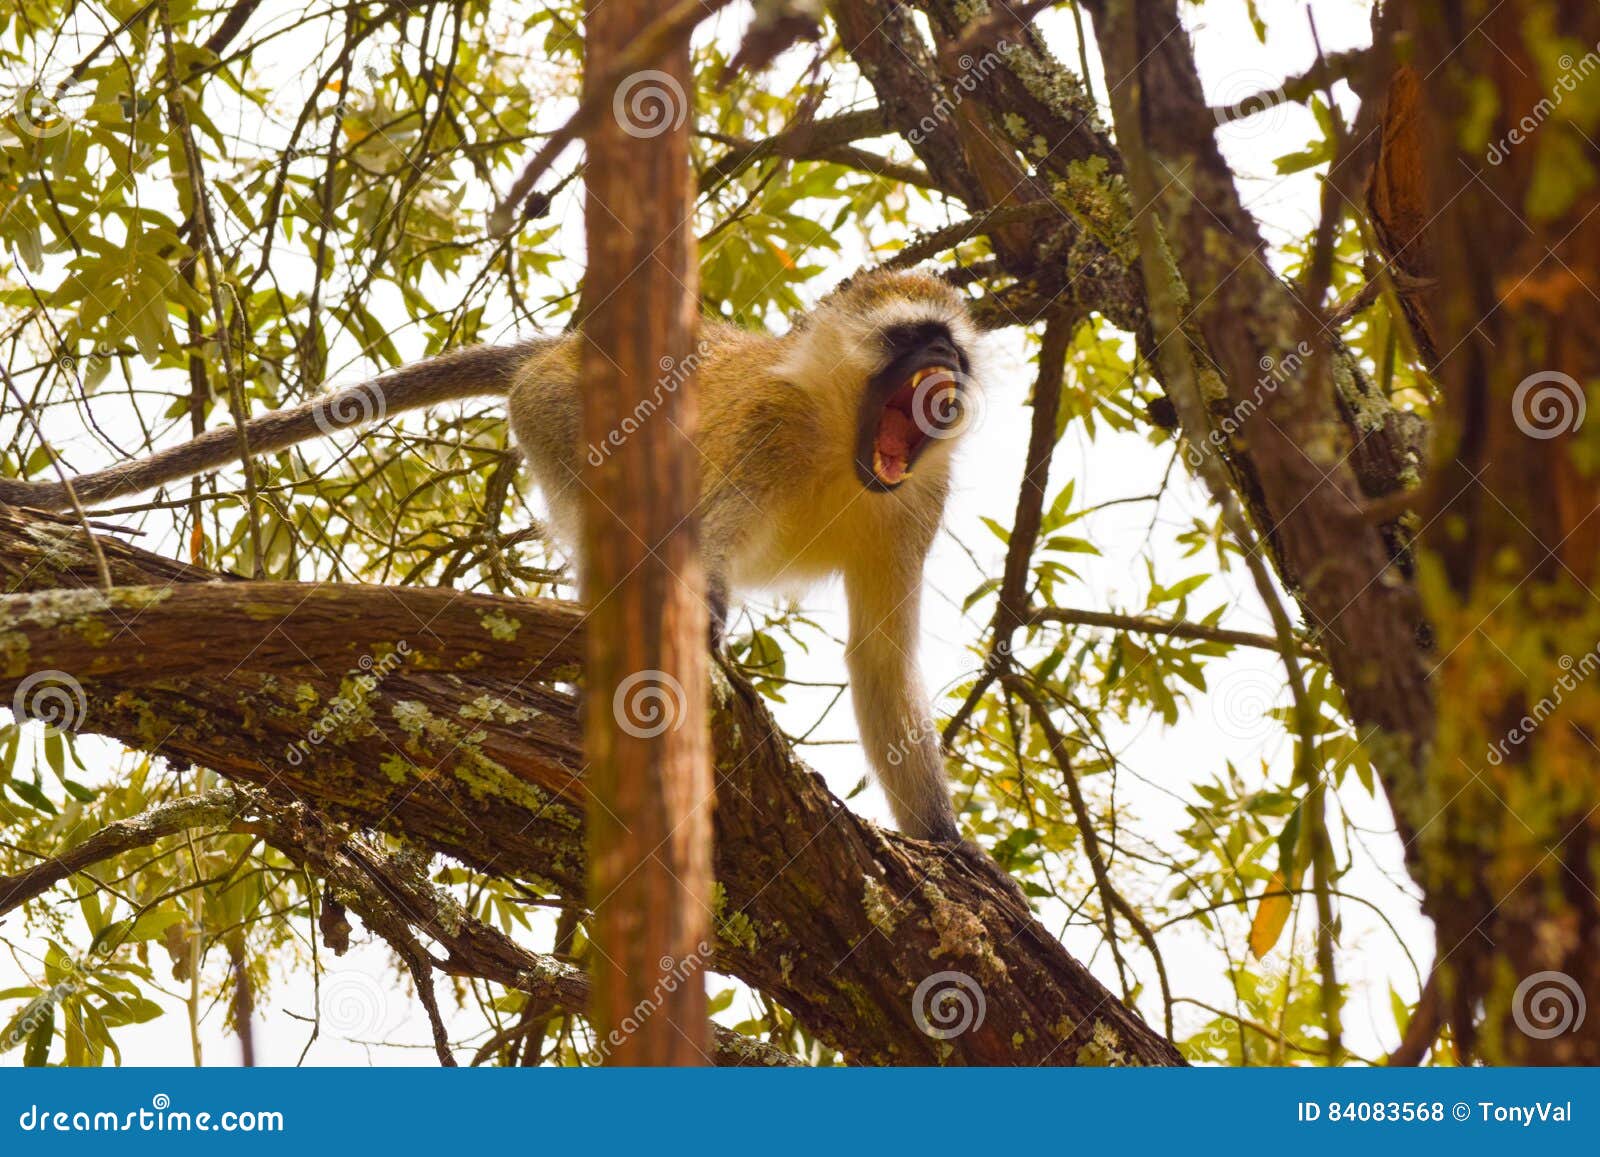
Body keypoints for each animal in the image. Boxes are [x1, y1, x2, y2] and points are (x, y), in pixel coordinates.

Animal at [0, 270, 985, 849]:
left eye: (953, 347)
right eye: (908, 336)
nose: (944, 363)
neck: (835, 441)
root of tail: (561, 351)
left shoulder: (917, 500)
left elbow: (879, 655)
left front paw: (945, 842)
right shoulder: (767, 435)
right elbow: (694, 550)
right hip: (560, 416)